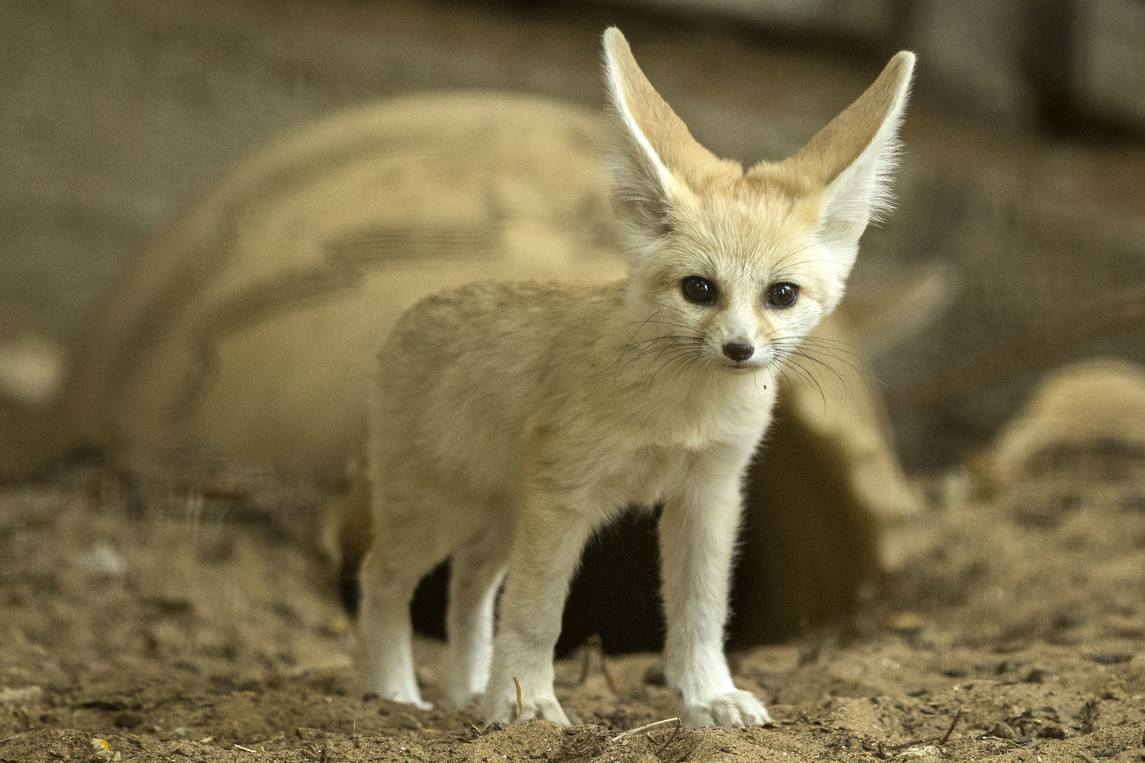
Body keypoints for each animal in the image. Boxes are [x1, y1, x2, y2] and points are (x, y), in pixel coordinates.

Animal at [357, 28, 915, 727]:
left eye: (781, 295)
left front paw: (709, 697)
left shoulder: (709, 493)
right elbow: (537, 614)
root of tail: (410, 315)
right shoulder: (564, 498)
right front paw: (530, 705)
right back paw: (395, 693)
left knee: (469, 588)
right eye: (699, 290)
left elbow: (702, 612)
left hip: (497, 517)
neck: (683, 412)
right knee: (380, 576)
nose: (739, 349)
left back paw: (468, 693)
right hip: (435, 514)